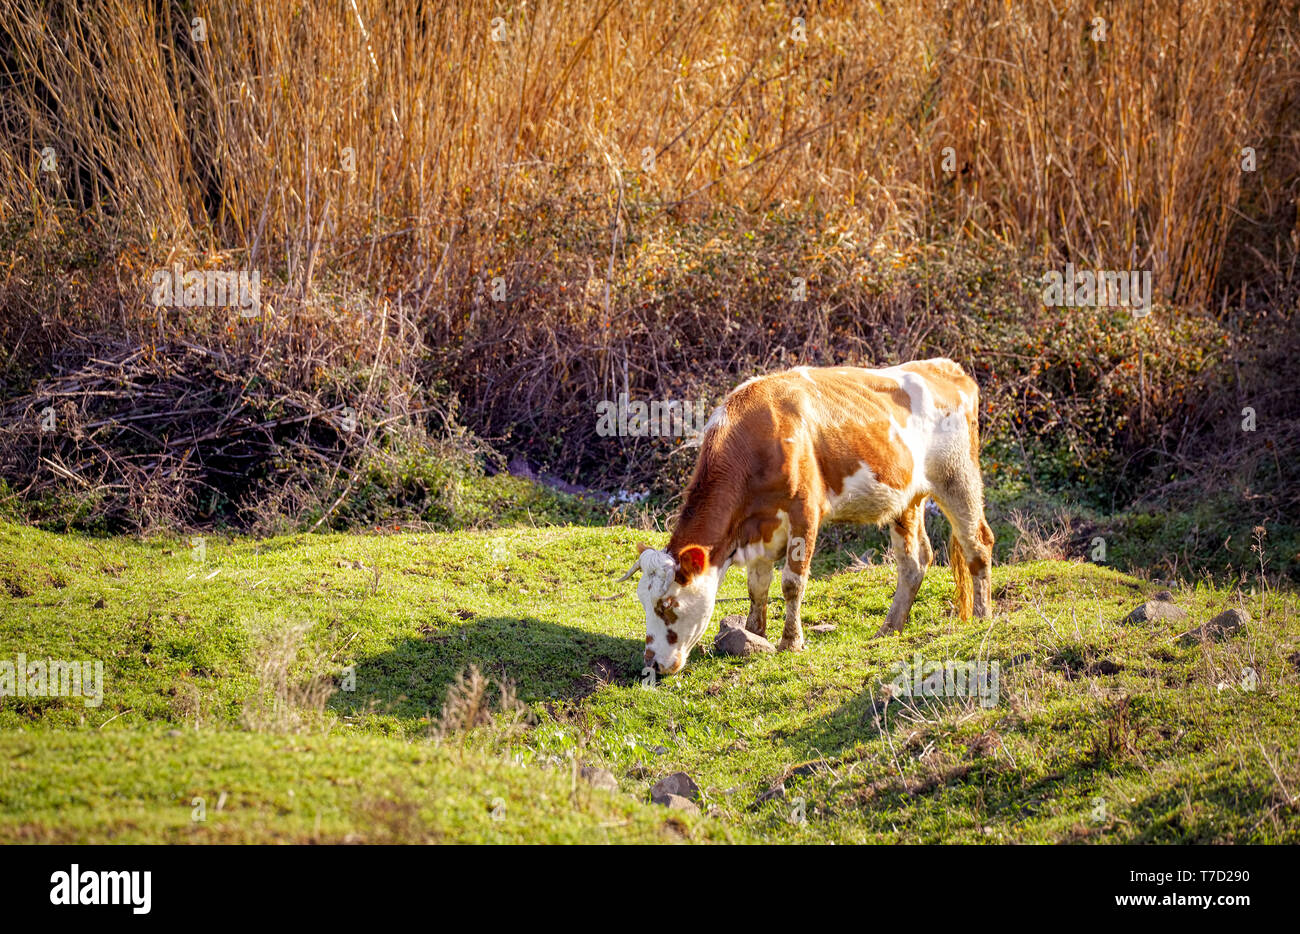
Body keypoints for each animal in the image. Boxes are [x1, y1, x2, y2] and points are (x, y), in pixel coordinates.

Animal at [617, 359, 995, 676]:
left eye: (668, 605)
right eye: (643, 602)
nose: (652, 664)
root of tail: (945, 366)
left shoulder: (805, 511)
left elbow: (792, 582)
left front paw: (790, 642)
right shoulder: (760, 525)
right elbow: (757, 586)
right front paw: (753, 634)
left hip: (957, 476)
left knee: (977, 543)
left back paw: (981, 616)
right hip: (907, 497)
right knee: (914, 561)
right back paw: (889, 629)